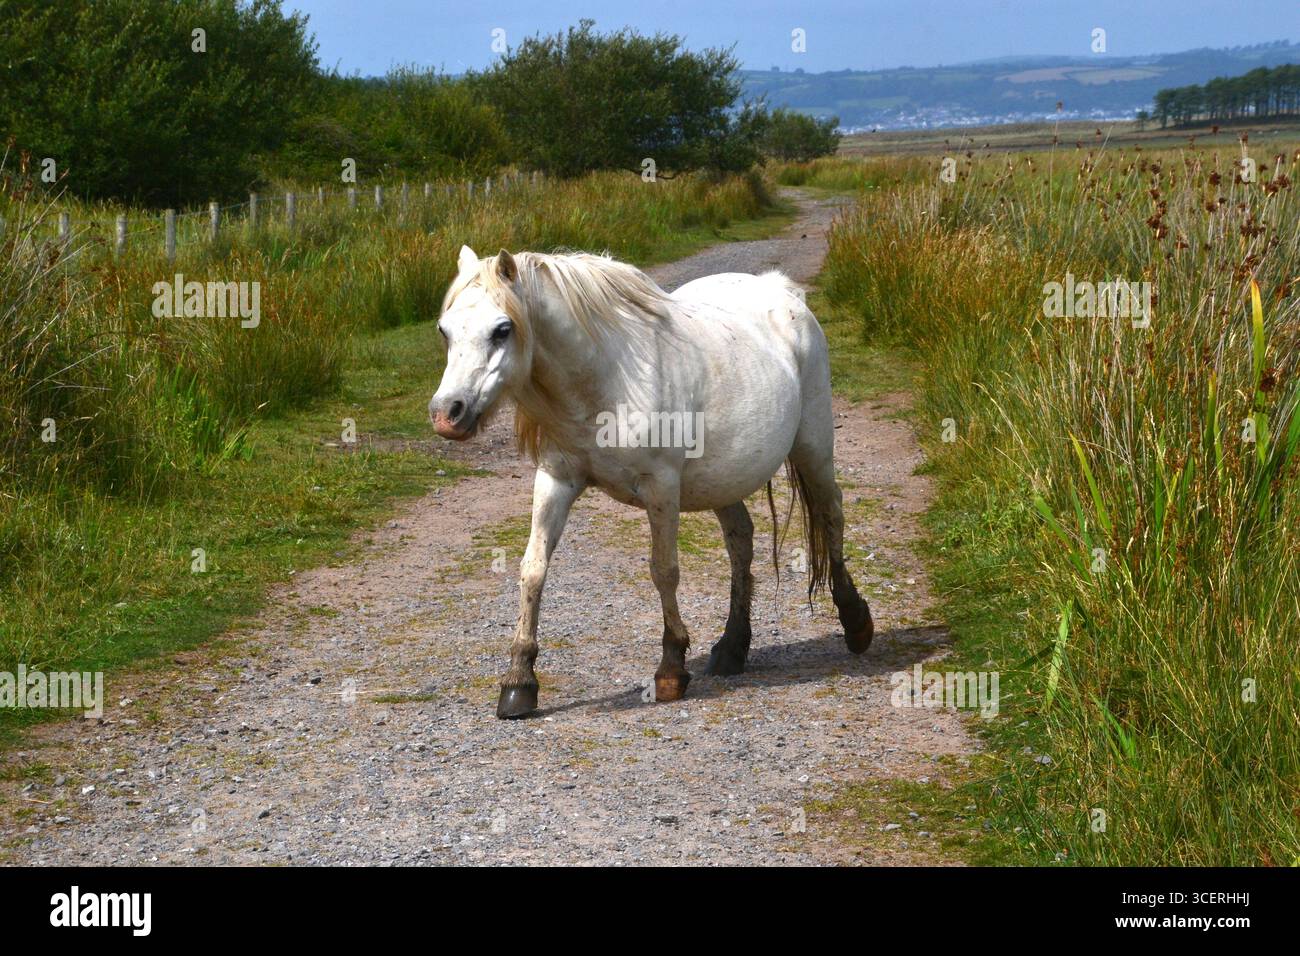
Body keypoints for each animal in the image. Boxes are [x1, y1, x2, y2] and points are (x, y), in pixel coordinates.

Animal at [429, 245, 873, 719]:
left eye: (502, 329)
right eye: (445, 330)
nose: (447, 414)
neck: (606, 378)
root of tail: (780, 289)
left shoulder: (661, 487)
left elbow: (664, 571)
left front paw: (671, 668)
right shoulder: (555, 480)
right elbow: (533, 569)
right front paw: (518, 680)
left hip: (813, 447)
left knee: (831, 514)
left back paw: (856, 623)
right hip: (725, 479)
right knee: (741, 541)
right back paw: (733, 647)